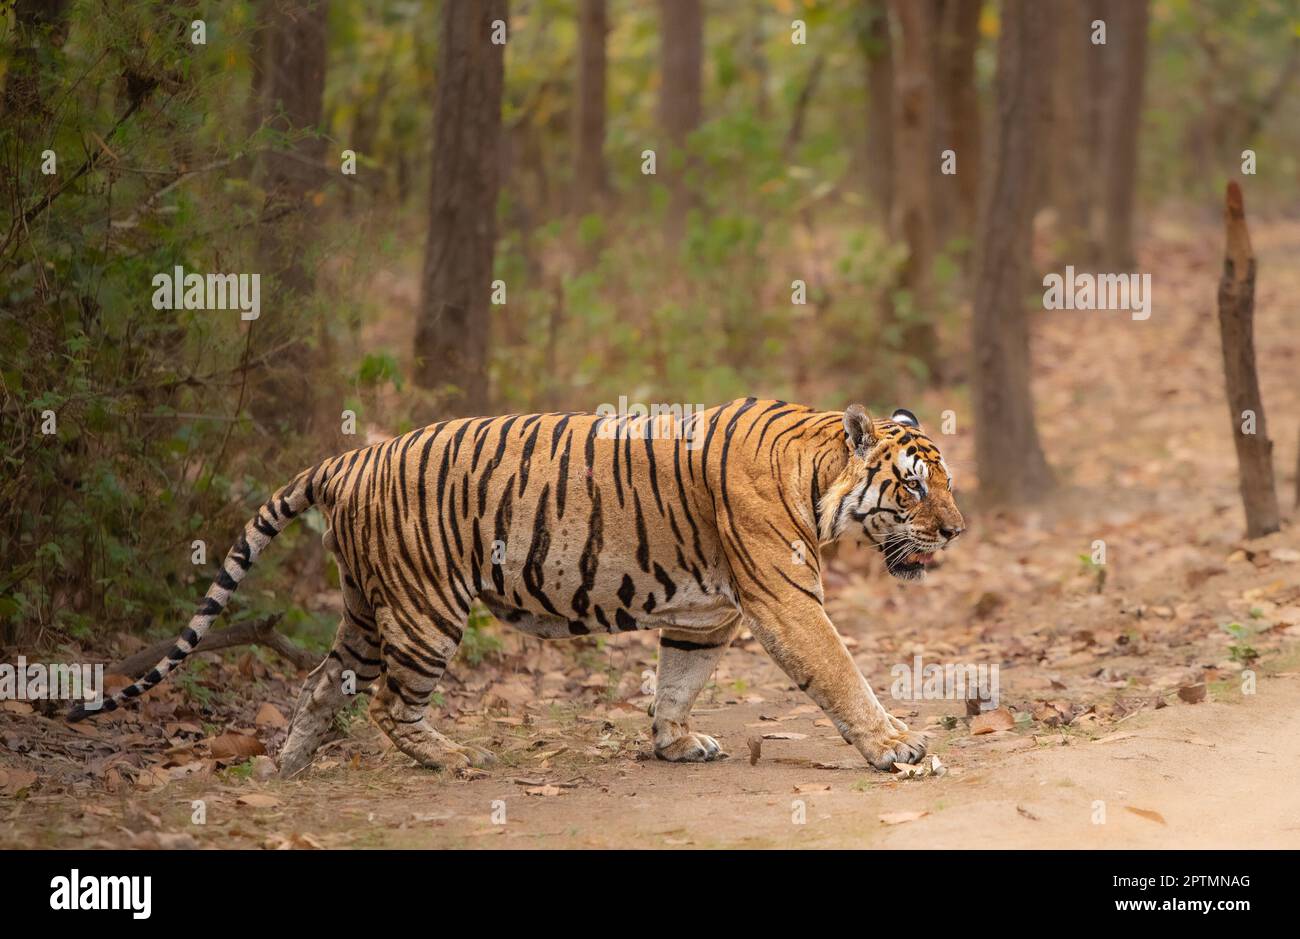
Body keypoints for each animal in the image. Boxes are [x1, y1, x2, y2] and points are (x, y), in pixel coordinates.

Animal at [69, 398, 964, 776]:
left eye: (944, 484)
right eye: (914, 488)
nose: (956, 531)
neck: (816, 472)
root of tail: (348, 458)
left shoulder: (707, 614)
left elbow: (677, 679)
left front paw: (674, 742)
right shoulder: (785, 601)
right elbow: (841, 675)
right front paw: (898, 747)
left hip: (363, 606)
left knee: (324, 681)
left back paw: (289, 765)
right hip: (425, 608)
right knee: (391, 702)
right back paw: (452, 758)